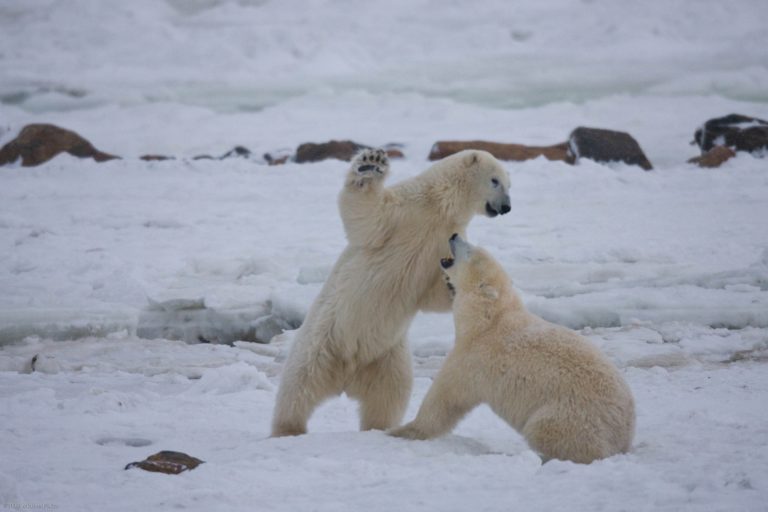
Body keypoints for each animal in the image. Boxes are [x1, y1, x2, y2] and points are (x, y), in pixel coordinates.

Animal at [271, 148, 512, 437]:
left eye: (509, 184)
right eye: (495, 181)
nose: (507, 207)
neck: (439, 206)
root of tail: (346, 376)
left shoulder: (446, 236)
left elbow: (430, 292)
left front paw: (452, 285)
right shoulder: (404, 208)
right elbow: (368, 216)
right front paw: (370, 165)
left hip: (388, 357)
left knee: (389, 396)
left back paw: (378, 427)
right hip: (322, 341)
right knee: (298, 387)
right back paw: (288, 429)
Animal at [389, 234, 635, 464]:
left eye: (470, 251)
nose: (454, 235)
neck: (488, 319)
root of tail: (624, 436)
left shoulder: (474, 355)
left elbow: (445, 397)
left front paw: (402, 431)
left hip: (571, 415)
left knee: (546, 430)